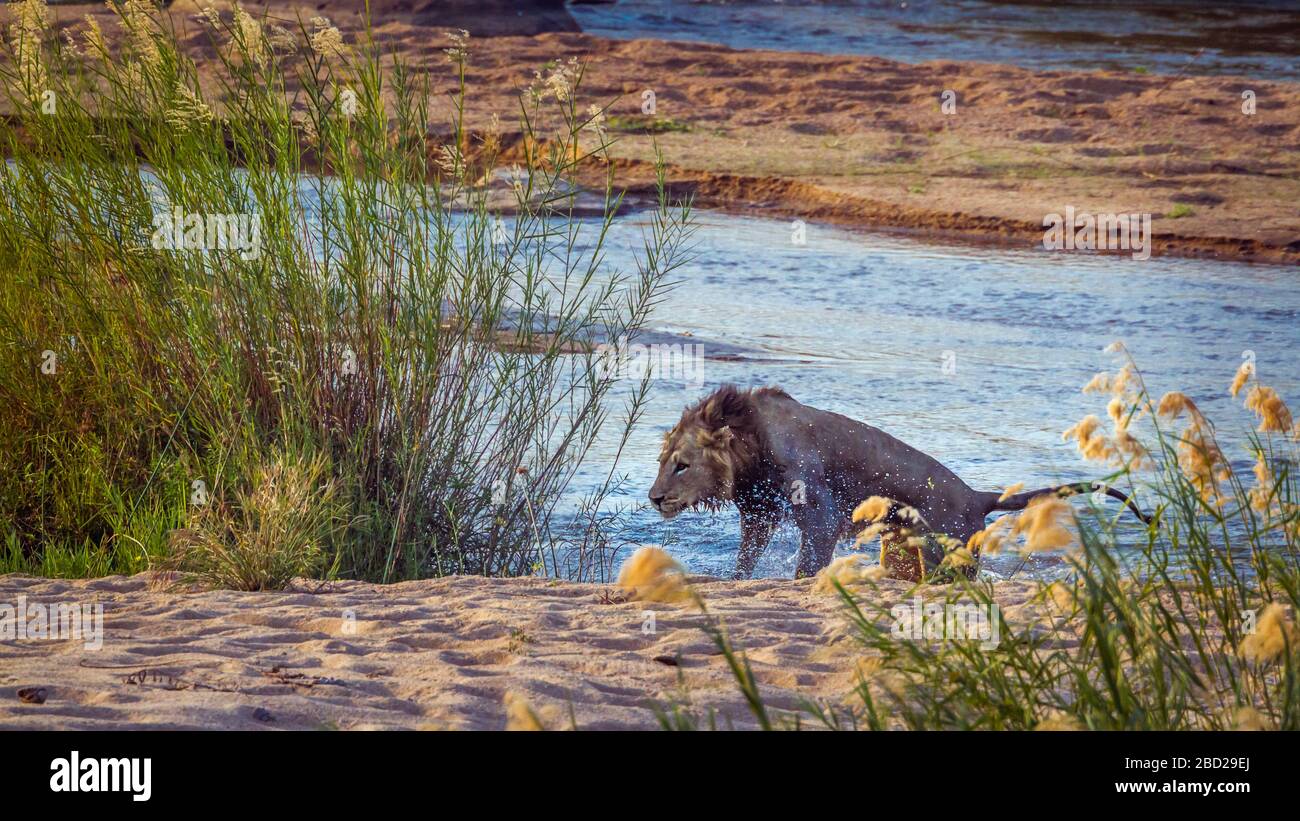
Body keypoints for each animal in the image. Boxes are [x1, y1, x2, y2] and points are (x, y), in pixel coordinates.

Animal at [648, 385, 1150, 581]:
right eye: (663, 462)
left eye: (681, 465)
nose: (654, 498)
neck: (750, 443)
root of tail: (977, 497)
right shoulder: (759, 511)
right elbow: (745, 559)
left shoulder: (819, 506)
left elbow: (810, 558)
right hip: (904, 553)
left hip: (950, 554)